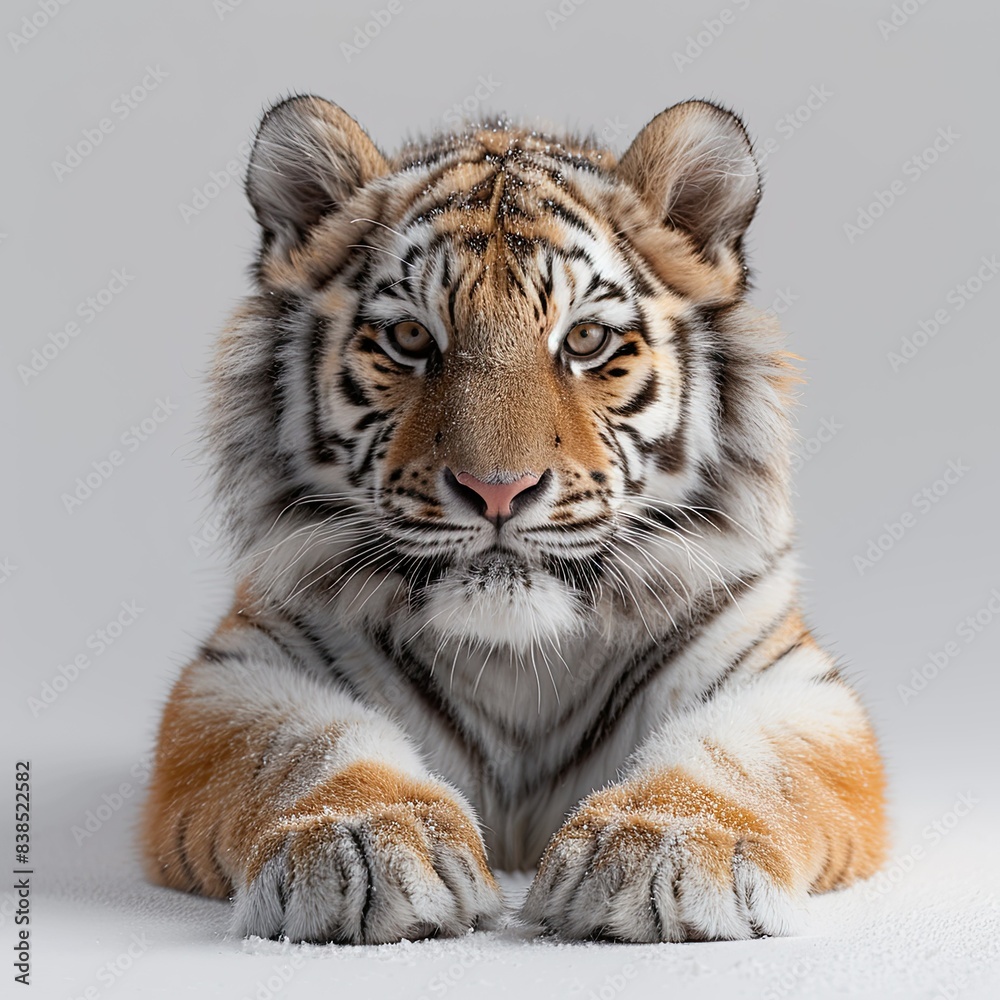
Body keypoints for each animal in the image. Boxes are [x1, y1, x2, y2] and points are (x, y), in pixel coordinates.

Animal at [141, 94, 888, 945]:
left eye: (586, 339)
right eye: (409, 338)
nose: (497, 490)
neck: (515, 658)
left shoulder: (794, 683)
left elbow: (734, 754)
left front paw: (662, 844)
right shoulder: (239, 673)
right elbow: (309, 741)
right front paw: (363, 839)